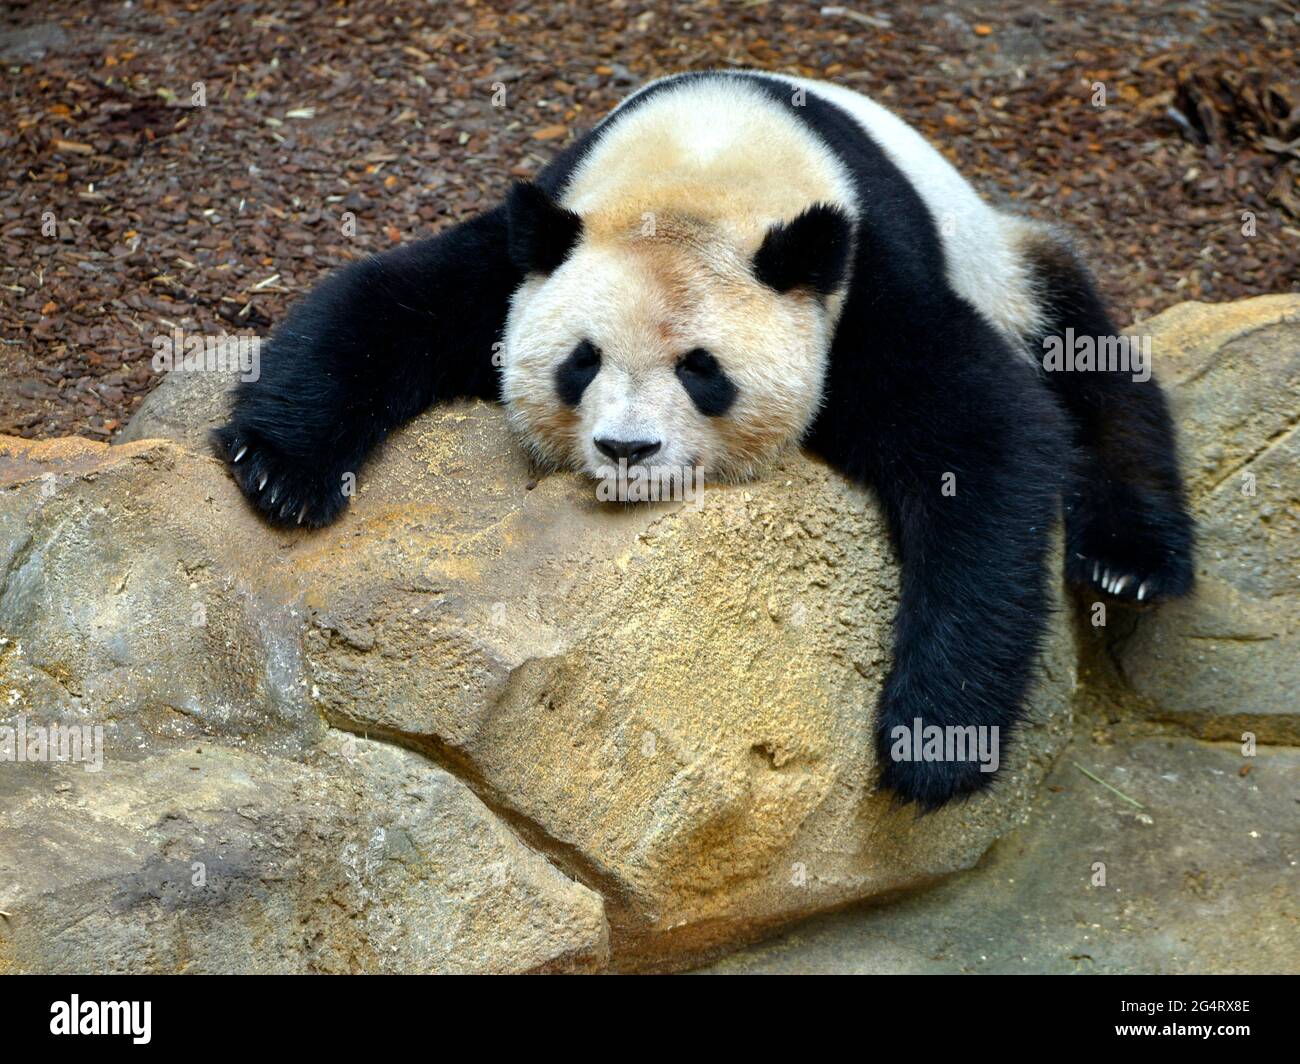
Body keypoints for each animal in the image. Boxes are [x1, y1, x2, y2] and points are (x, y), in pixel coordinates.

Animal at [210, 70, 1190, 806]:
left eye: (702, 370)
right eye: (581, 362)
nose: (626, 451)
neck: (705, 165)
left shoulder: (863, 284)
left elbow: (985, 438)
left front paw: (934, 742)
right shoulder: (542, 240)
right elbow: (390, 301)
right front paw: (281, 470)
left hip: (1005, 263)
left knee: (1091, 367)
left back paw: (1128, 560)